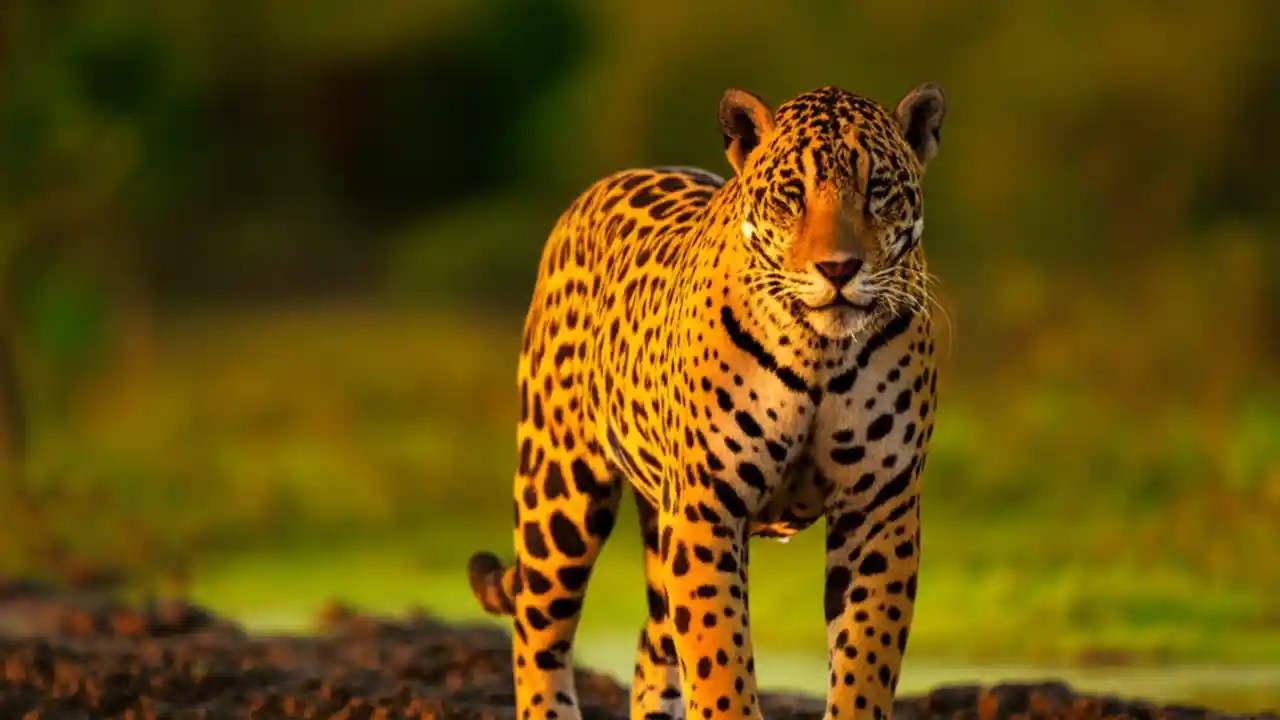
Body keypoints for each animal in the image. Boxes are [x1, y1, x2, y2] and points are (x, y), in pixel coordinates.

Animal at [468, 83, 946, 720]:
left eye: (879, 191)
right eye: (792, 195)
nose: (839, 268)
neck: (820, 352)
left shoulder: (879, 506)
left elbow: (865, 656)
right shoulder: (706, 505)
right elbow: (718, 657)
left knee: (653, 640)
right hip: (559, 494)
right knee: (537, 630)